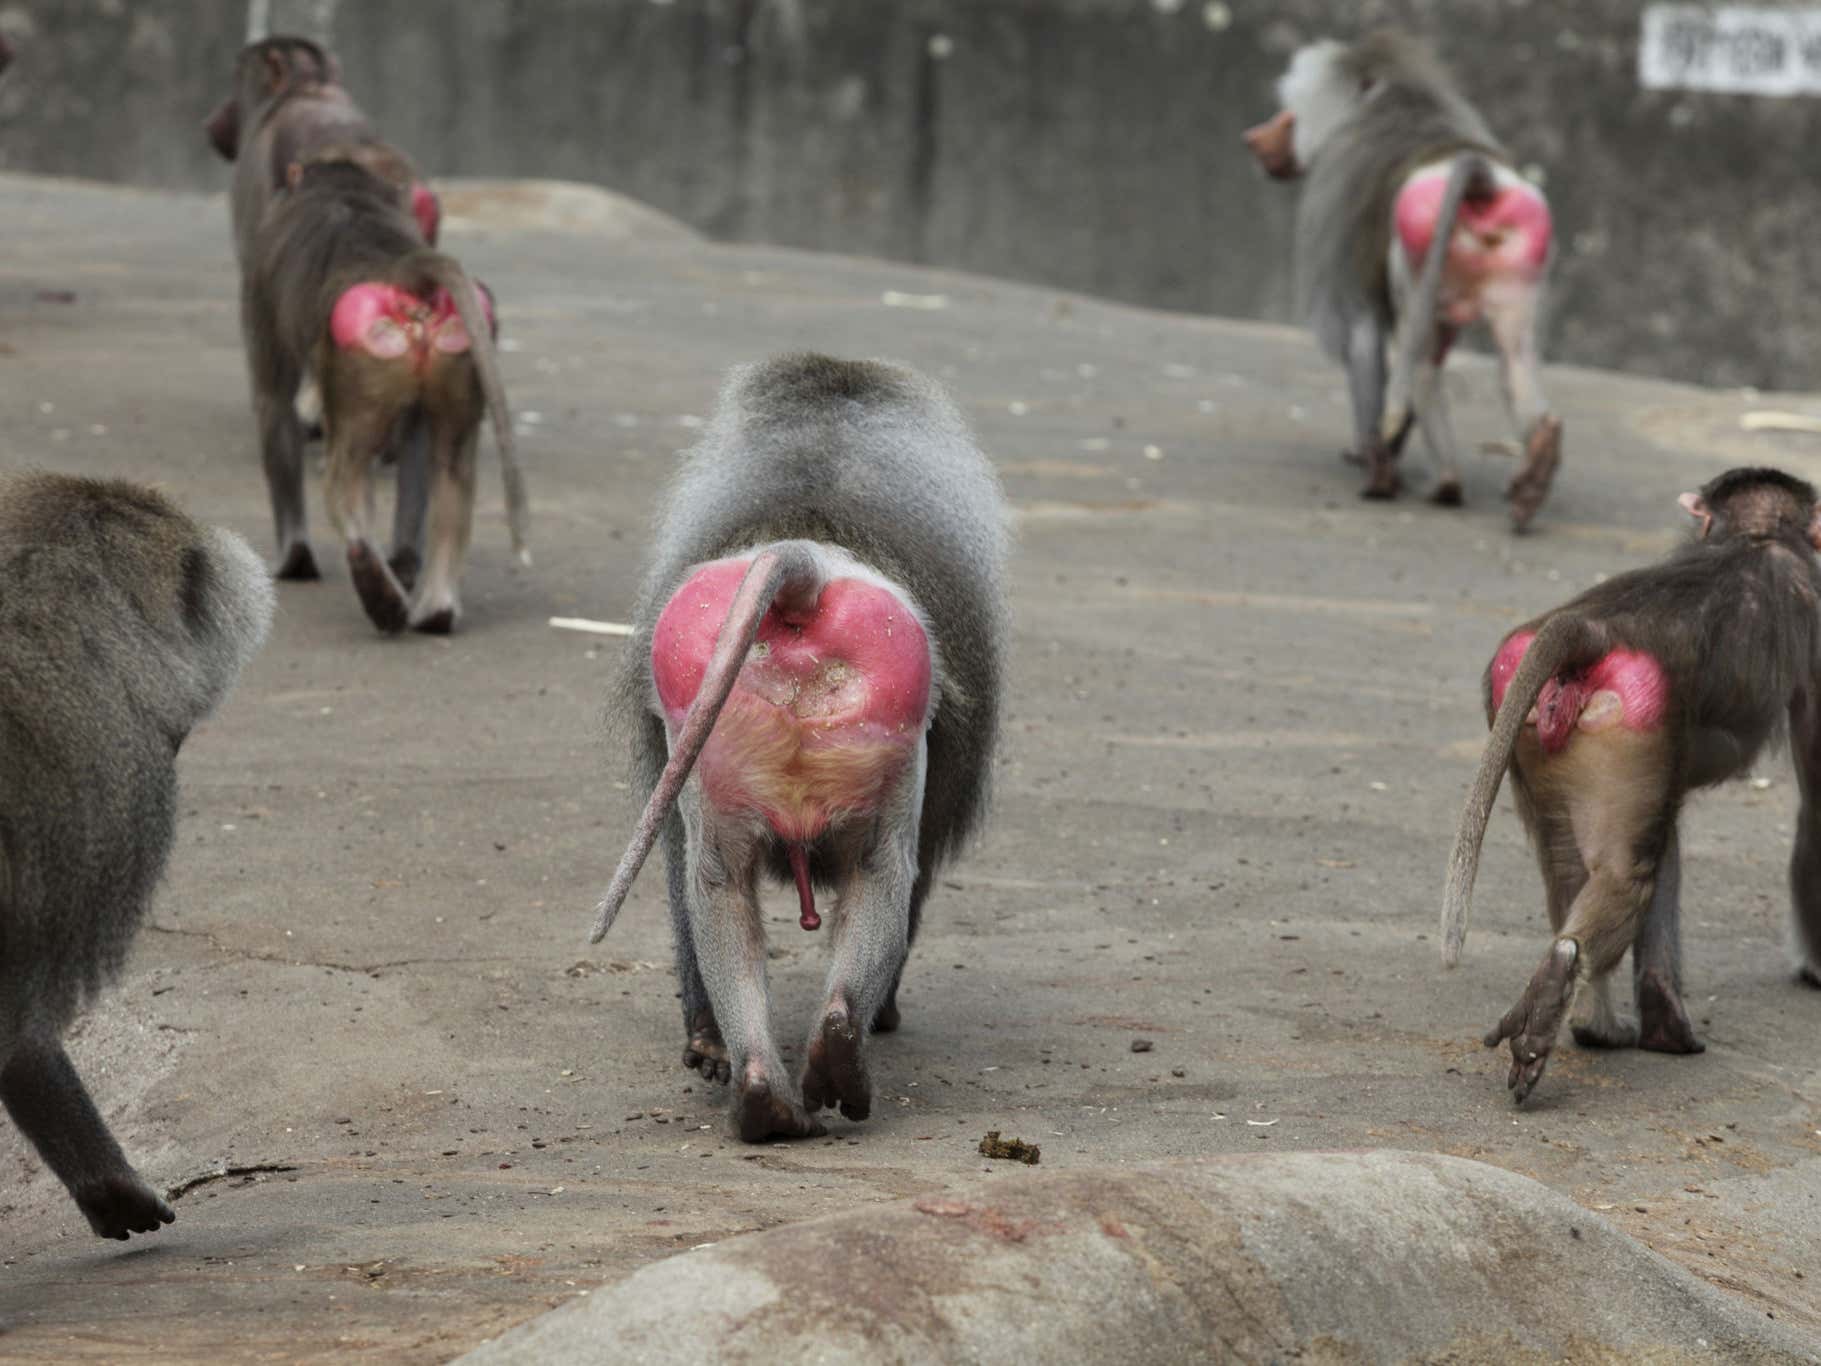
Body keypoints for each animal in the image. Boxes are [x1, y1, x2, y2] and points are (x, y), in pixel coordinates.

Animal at [244, 147, 528, 629]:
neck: (346, 187)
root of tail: (405, 267)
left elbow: (273, 404)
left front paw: (293, 560)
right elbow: (417, 444)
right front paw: (405, 563)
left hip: (360, 364)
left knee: (348, 472)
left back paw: (373, 580)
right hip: (454, 358)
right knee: (451, 466)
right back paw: (434, 610)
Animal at [1243, 31, 1563, 528]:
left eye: (1291, 113)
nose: (1254, 139)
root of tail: (1480, 176)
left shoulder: (1338, 194)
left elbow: (1360, 334)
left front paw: (1370, 453)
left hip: (1417, 249)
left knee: (1423, 364)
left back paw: (1428, 481)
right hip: (1514, 254)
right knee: (1513, 359)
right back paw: (1534, 473)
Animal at [1441, 467, 1821, 1102]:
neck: (1755, 536)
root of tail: (1596, 626)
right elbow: (1818, 800)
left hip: (1534, 723)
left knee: (1584, 867)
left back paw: (1593, 1019)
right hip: (1628, 722)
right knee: (1627, 872)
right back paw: (1577, 999)